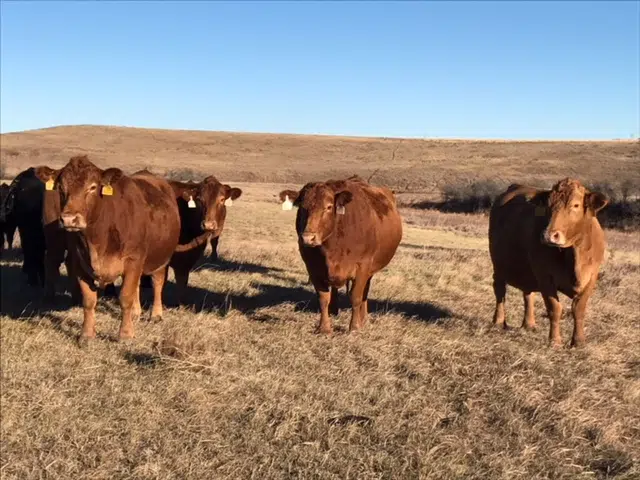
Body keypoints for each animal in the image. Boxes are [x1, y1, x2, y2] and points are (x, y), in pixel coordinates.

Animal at [34, 155, 183, 345]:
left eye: (92, 187)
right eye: (60, 188)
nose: (69, 219)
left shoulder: (134, 259)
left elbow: (125, 296)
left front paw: (125, 334)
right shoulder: (80, 263)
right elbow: (89, 300)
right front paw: (86, 334)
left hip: (160, 258)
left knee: (157, 282)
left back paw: (156, 314)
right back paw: (136, 313)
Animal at [279, 175, 402, 334]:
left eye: (329, 207)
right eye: (301, 207)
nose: (307, 238)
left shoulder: (362, 266)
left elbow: (356, 296)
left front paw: (354, 327)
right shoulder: (313, 268)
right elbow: (323, 298)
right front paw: (324, 327)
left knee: (365, 292)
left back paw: (363, 319)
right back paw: (334, 310)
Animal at [488, 178, 609, 348]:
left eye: (575, 205)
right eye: (548, 206)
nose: (548, 235)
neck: (574, 254)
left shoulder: (592, 276)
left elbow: (579, 309)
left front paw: (579, 341)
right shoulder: (545, 277)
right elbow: (555, 308)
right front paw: (555, 341)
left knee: (528, 294)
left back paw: (529, 324)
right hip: (498, 265)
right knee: (500, 292)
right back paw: (498, 321)